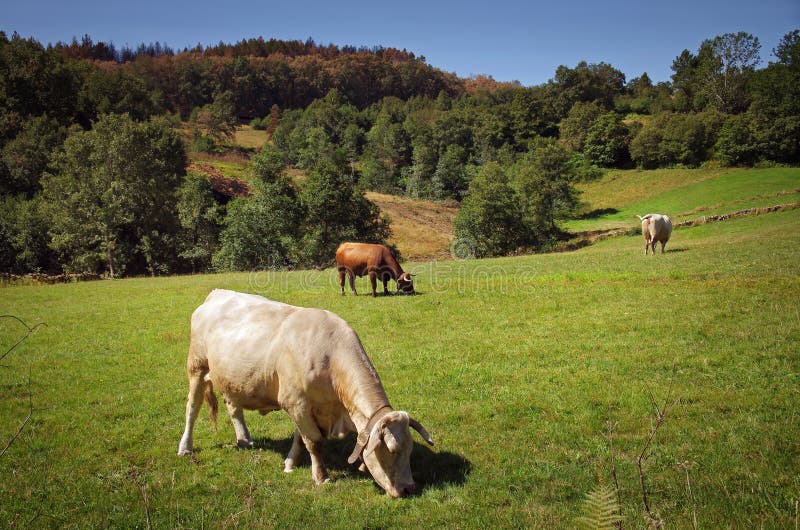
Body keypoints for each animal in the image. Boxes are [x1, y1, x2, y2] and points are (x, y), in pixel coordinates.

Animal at [177, 289, 433, 498]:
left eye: (410, 449)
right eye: (392, 450)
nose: (408, 488)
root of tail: (216, 293)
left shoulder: (307, 407)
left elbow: (299, 437)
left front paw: (290, 463)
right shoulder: (296, 403)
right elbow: (313, 441)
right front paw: (321, 477)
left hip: (232, 380)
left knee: (233, 407)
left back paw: (244, 439)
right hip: (196, 367)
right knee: (192, 407)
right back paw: (185, 447)